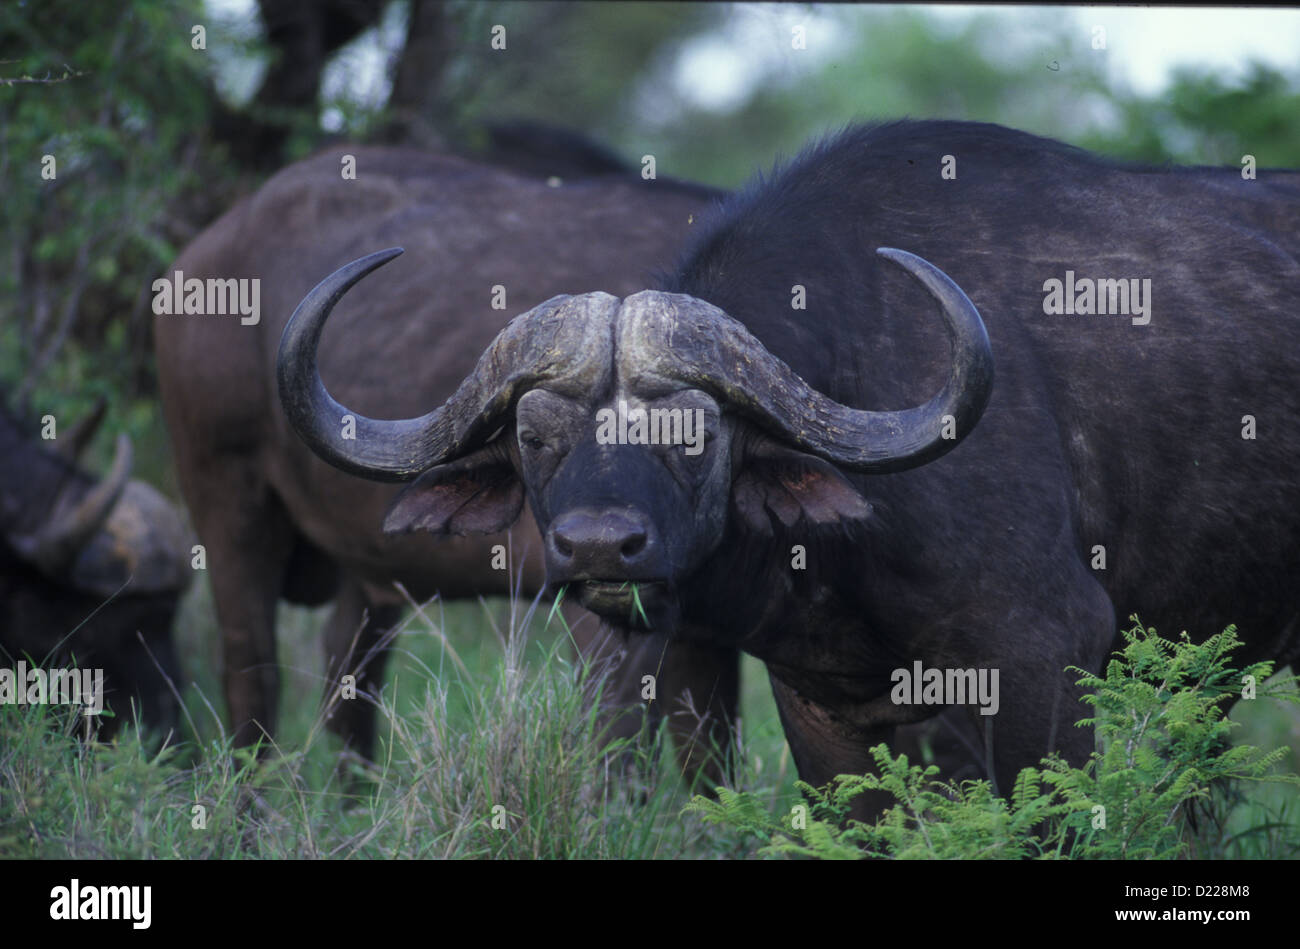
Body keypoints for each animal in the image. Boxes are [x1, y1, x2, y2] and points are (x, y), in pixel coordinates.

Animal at [155, 133, 737, 776]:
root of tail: (197, 257)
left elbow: (709, 750)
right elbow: (619, 740)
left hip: (366, 562)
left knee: (349, 677)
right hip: (227, 498)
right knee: (251, 673)